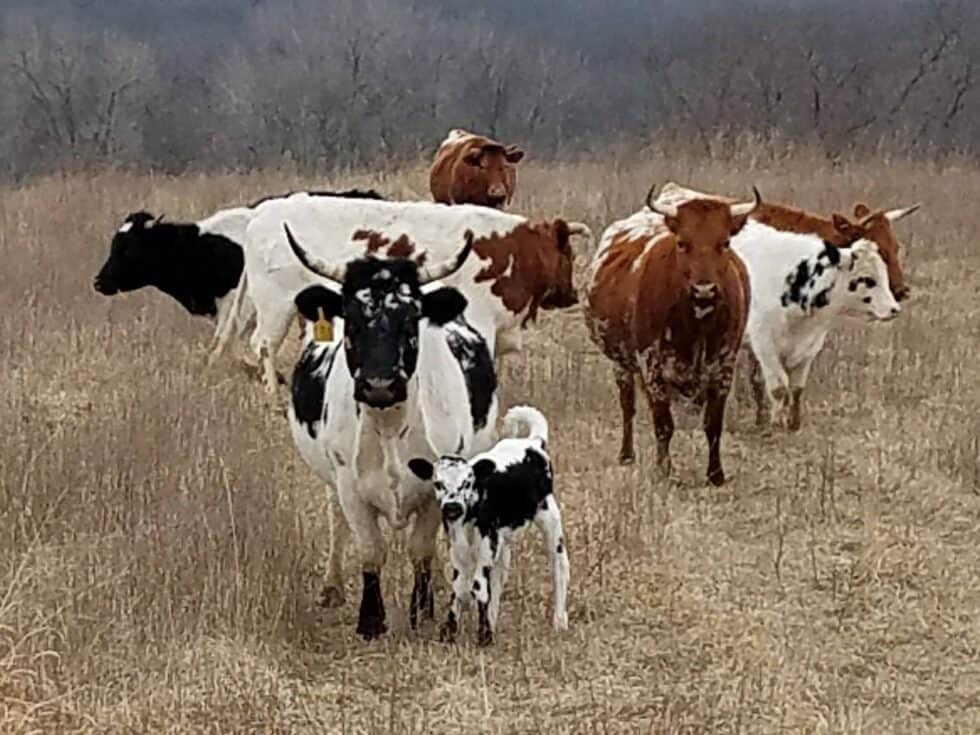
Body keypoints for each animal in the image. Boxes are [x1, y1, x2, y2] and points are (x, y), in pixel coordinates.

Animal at [237, 195, 591, 394]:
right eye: (570, 255)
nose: (572, 295)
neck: (516, 249)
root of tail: (261, 214)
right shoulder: (479, 319)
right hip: (276, 305)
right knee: (263, 346)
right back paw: (273, 393)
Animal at [284, 225, 498, 639]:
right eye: (351, 320)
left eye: (411, 320)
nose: (379, 384)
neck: (388, 426)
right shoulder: (350, 487)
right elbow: (370, 550)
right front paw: (371, 620)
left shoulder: (434, 493)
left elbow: (420, 550)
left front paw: (422, 611)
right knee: (335, 521)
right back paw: (332, 586)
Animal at [407, 405, 569, 646]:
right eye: (438, 483)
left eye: (467, 482)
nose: (452, 507)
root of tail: (533, 442)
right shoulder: (457, 543)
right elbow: (460, 587)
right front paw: (450, 630)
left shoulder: (486, 541)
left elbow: (478, 586)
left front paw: (483, 635)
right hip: (502, 539)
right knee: (500, 574)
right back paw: (492, 619)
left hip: (548, 515)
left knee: (559, 563)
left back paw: (559, 620)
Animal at [585, 185, 757, 485]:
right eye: (682, 243)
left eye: (724, 243)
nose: (704, 290)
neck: (697, 324)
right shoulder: (652, 365)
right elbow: (663, 424)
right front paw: (663, 469)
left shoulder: (724, 366)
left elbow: (713, 424)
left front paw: (716, 473)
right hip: (621, 363)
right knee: (628, 406)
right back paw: (626, 454)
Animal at [732, 221, 900, 430]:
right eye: (867, 279)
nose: (895, 309)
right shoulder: (765, 344)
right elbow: (779, 387)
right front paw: (776, 423)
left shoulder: (810, 345)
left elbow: (796, 388)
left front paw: (794, 424)